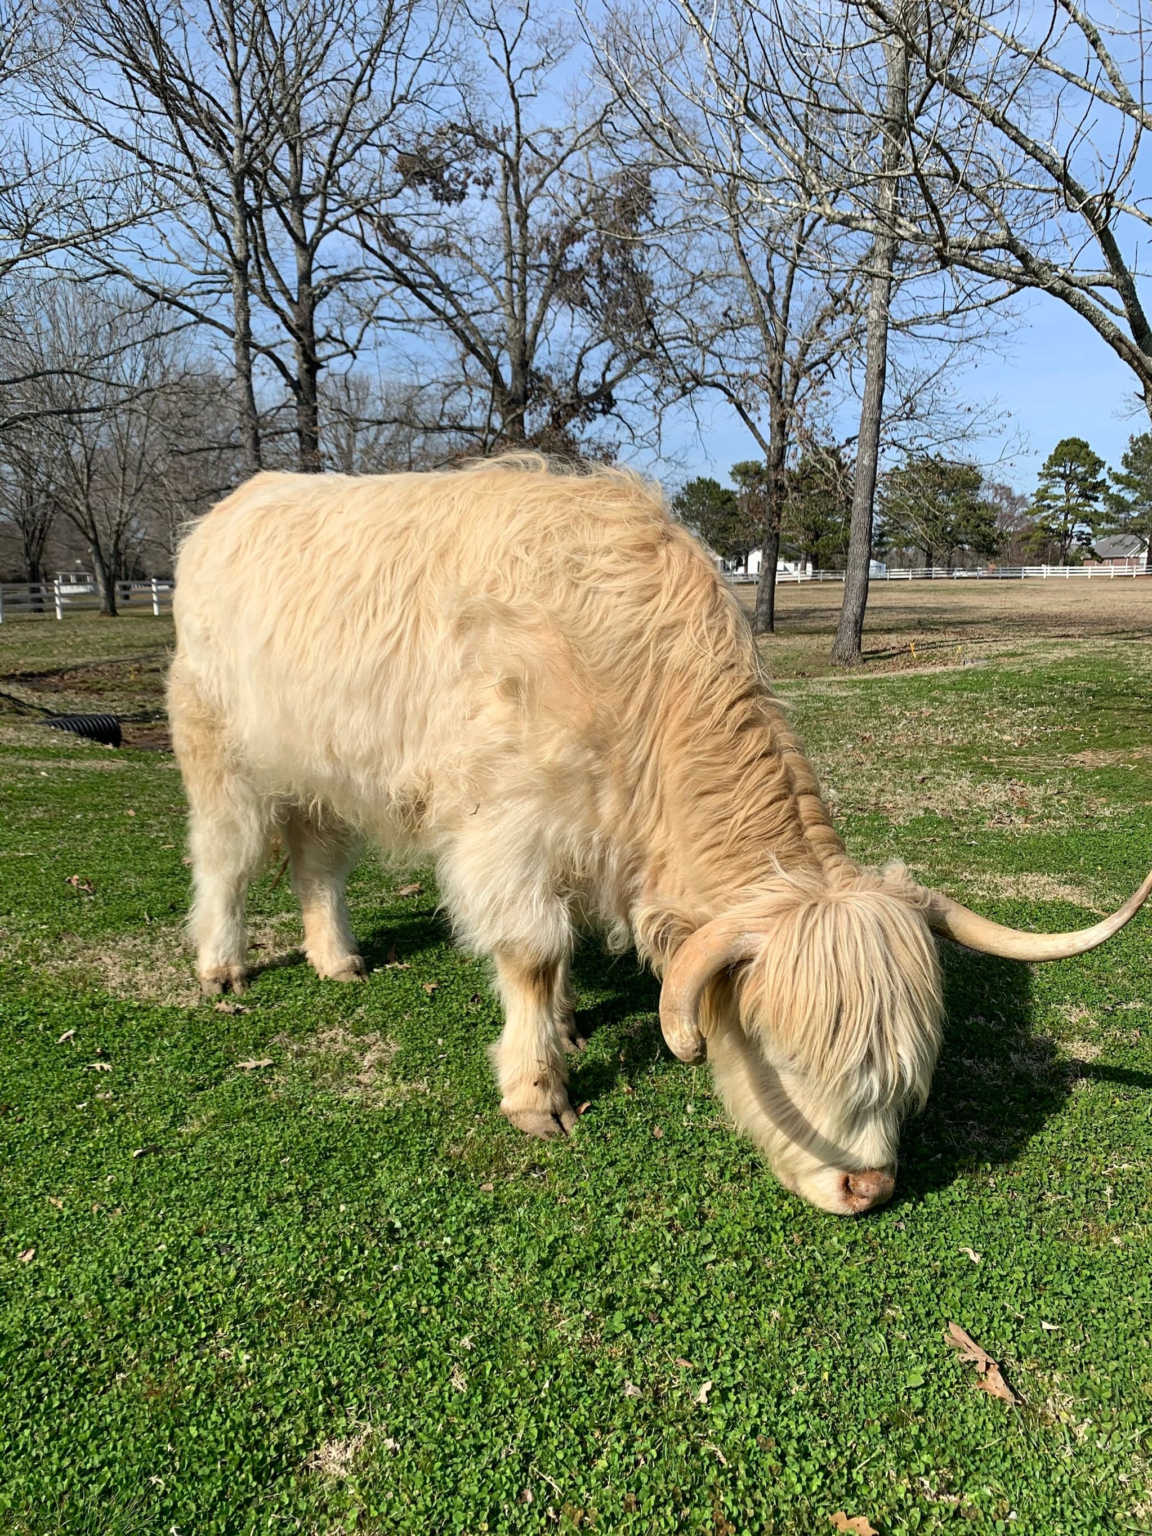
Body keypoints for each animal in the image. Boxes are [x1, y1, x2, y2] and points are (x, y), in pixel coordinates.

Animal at [168, 457, 1151, 1214]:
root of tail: (233, 506)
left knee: (317, 860)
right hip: (220, 749)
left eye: (908, 1069)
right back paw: (221, 966)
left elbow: (560, 952)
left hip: (321, 768)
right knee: (225, 855)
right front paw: (537, 1092)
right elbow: (531, 953)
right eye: (785, 1054)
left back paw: (337, 958)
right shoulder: (504, 830)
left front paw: (567, 1027)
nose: (867, 1191)